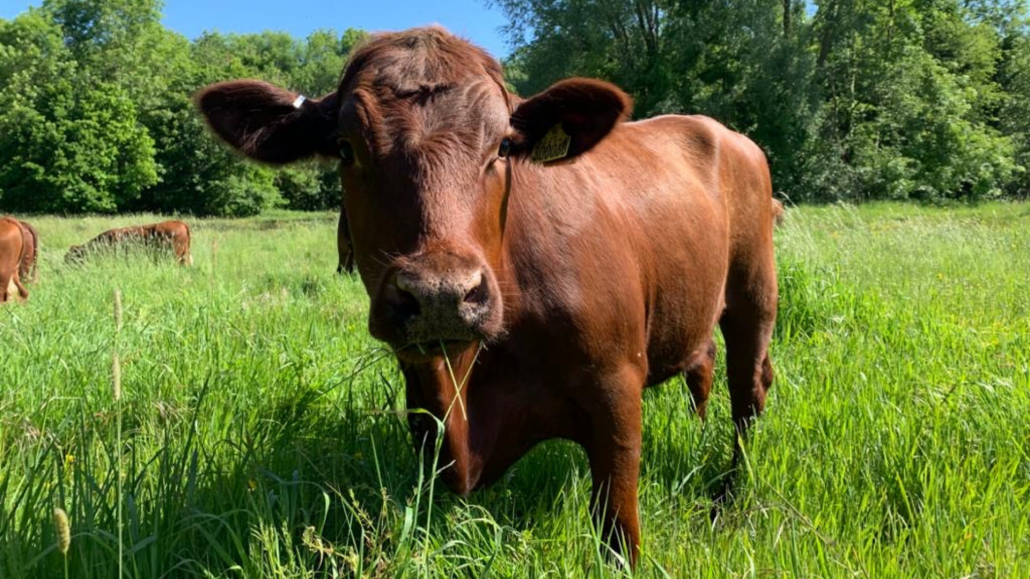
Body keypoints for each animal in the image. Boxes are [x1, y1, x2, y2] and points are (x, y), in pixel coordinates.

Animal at [196, 27, 778, 565]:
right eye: (346, 147)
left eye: (502, 147)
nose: (441, 294)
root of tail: (718, 129)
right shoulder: (423, 403)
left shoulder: (616, 390)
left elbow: (618, 529)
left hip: (754, 293)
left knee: (748, 391)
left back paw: (729, 495)